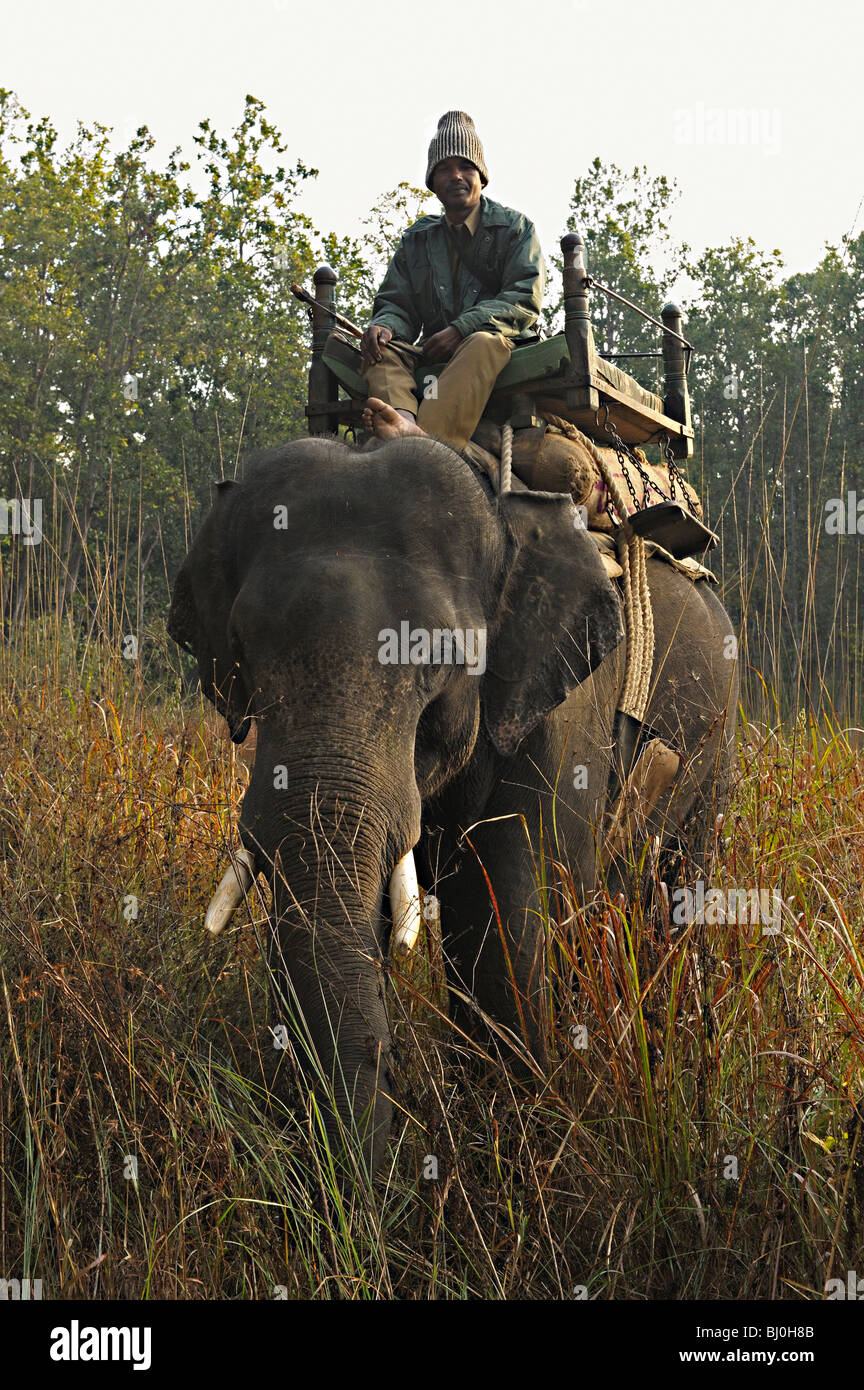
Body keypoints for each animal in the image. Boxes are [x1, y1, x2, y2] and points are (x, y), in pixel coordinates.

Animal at [167, 432, 738, 1176]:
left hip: (714, 744)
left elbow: (510, 912)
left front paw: (518, 1143)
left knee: (672, 899)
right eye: (240, 654)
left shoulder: (556, 715)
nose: (375, 1195)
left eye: (438, 660)